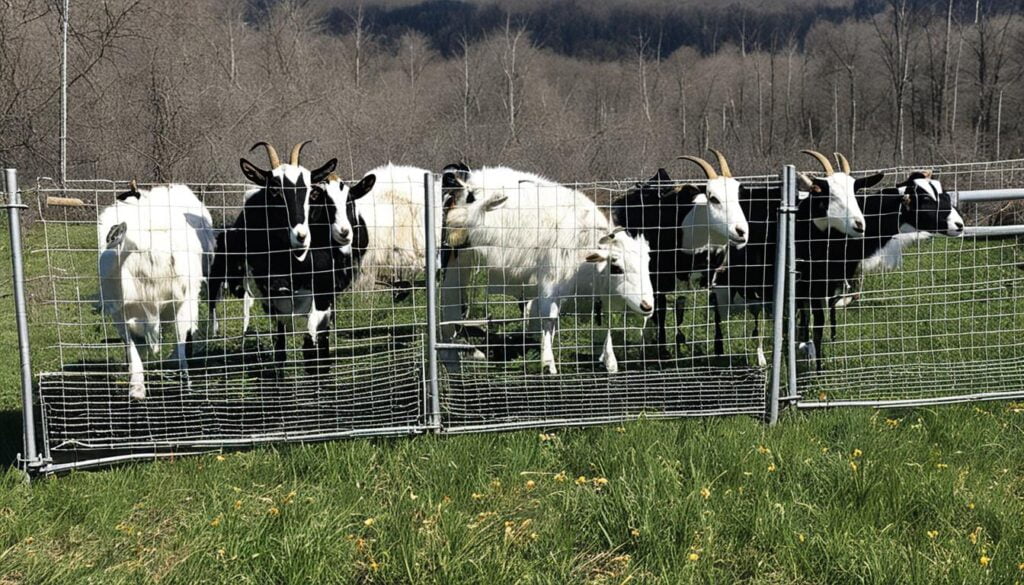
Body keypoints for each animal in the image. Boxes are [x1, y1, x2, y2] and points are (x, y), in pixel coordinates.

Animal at [98, 181, 215, 400]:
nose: (115, 233)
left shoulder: (183, 302)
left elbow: (182, 338)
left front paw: (185, 383)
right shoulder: (120, 315)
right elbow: (132, 350)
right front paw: (136, 389)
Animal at [439, 167, 655, 375]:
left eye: (647, 265)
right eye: (617, 267)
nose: (647, 306)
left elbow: (605, 325)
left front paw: (609, 360)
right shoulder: (550, 285)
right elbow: (548, 320)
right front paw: (548, 363)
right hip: (455, 272)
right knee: (449, 313)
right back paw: (454, 358)